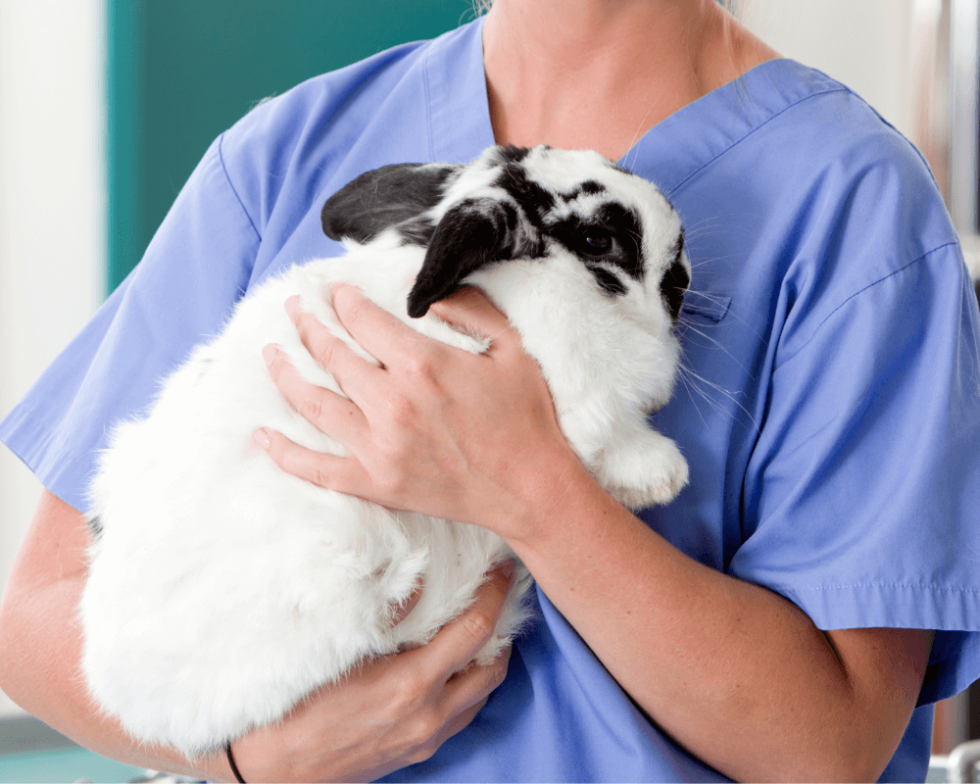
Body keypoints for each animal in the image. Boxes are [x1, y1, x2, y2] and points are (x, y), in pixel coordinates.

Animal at [79, 144, 691, 758]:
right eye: (597, 239)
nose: (684, 277)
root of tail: (137, 707)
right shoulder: (580, 402)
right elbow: (612, 440)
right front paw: (667, 476)